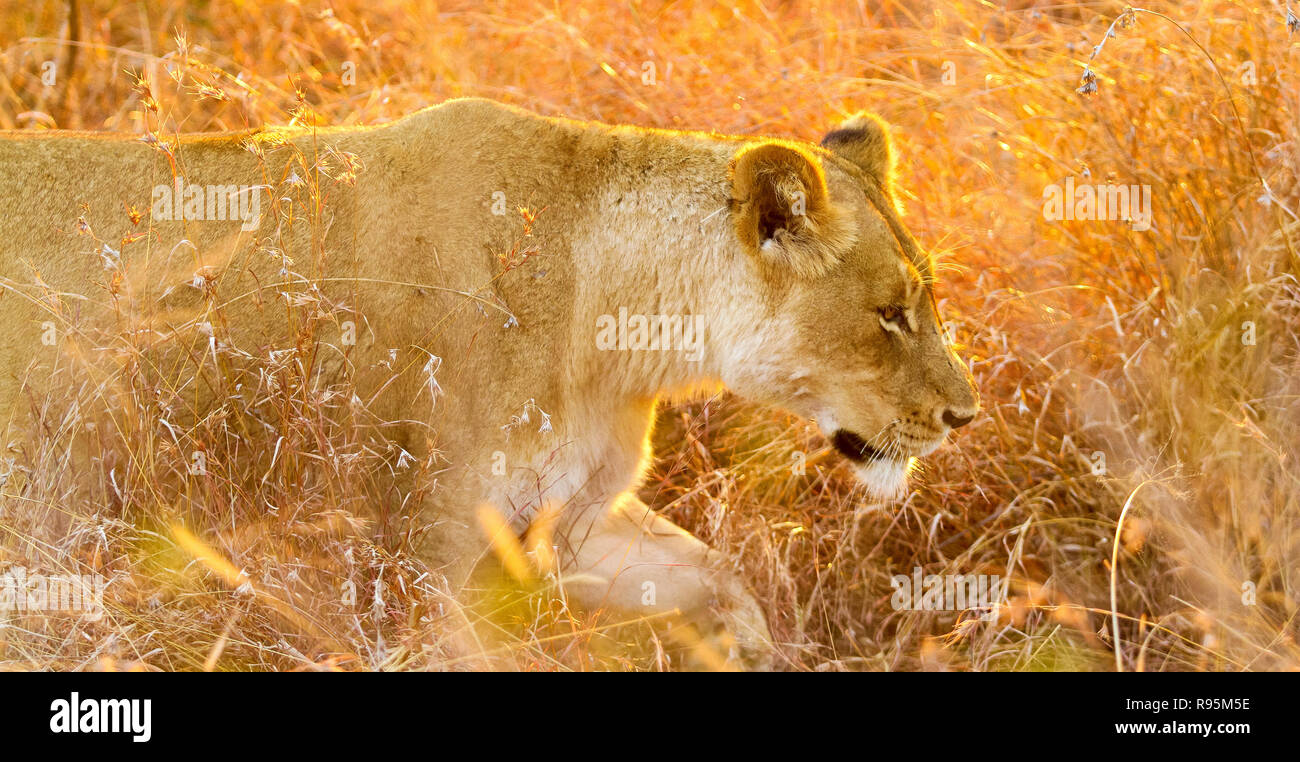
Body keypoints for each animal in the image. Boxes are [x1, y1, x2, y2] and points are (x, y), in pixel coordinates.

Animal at [0, 98, 978, 668]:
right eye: (891, 312)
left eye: (925, 296)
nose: (963, 416)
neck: (622, 331)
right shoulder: (409, 553)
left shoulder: (573, 521)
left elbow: (715, 567)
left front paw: (751, 648)